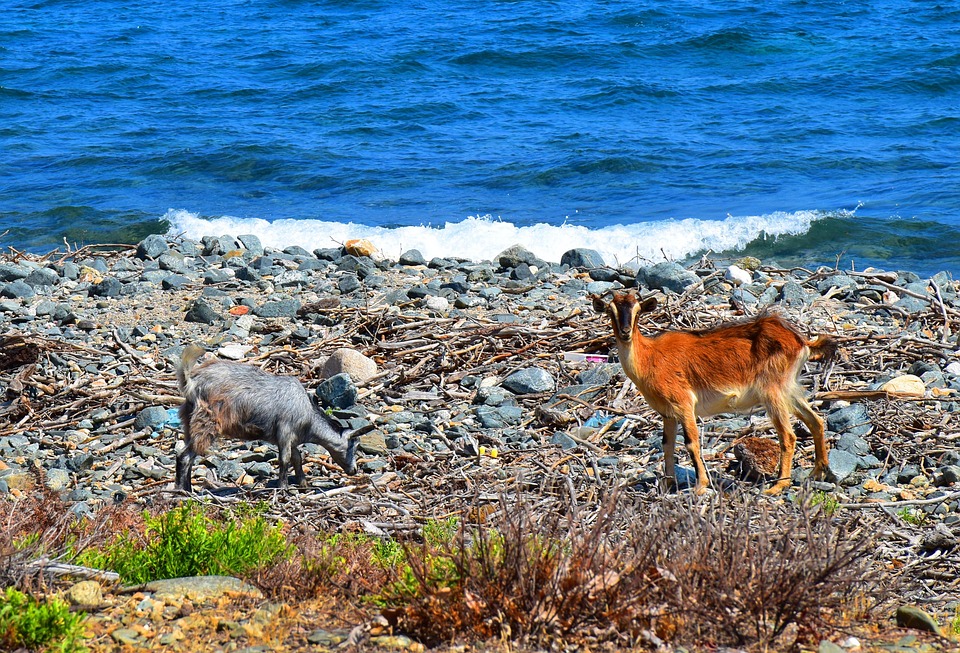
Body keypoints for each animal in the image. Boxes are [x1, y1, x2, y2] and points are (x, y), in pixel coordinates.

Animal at [175, 345, 363, 492]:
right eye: (353, 447)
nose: (354, 470)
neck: (308, 416)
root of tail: (192, 382)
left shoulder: (291, 439)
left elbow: (297, 457)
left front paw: (303, 484)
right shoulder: (285, 431)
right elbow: (285, 459)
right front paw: (283, 487)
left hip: (189, 421)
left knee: (185, 455)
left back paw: (184, 489)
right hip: (206, 423)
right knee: (185, 456)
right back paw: (184, 491)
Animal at [592, 292, 835, 495]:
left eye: (638, 311)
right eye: (610, 311)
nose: (625, 333)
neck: (650, 357)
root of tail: (802, 342)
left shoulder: (684, 405)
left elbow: (691, 443)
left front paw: (700, 486)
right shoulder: (667, 413)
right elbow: (667, 445)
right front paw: (667, 484)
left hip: (772, 393)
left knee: (788, 435)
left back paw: (778, 486)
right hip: (789, 390)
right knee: (815, 421)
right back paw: (818, 471)